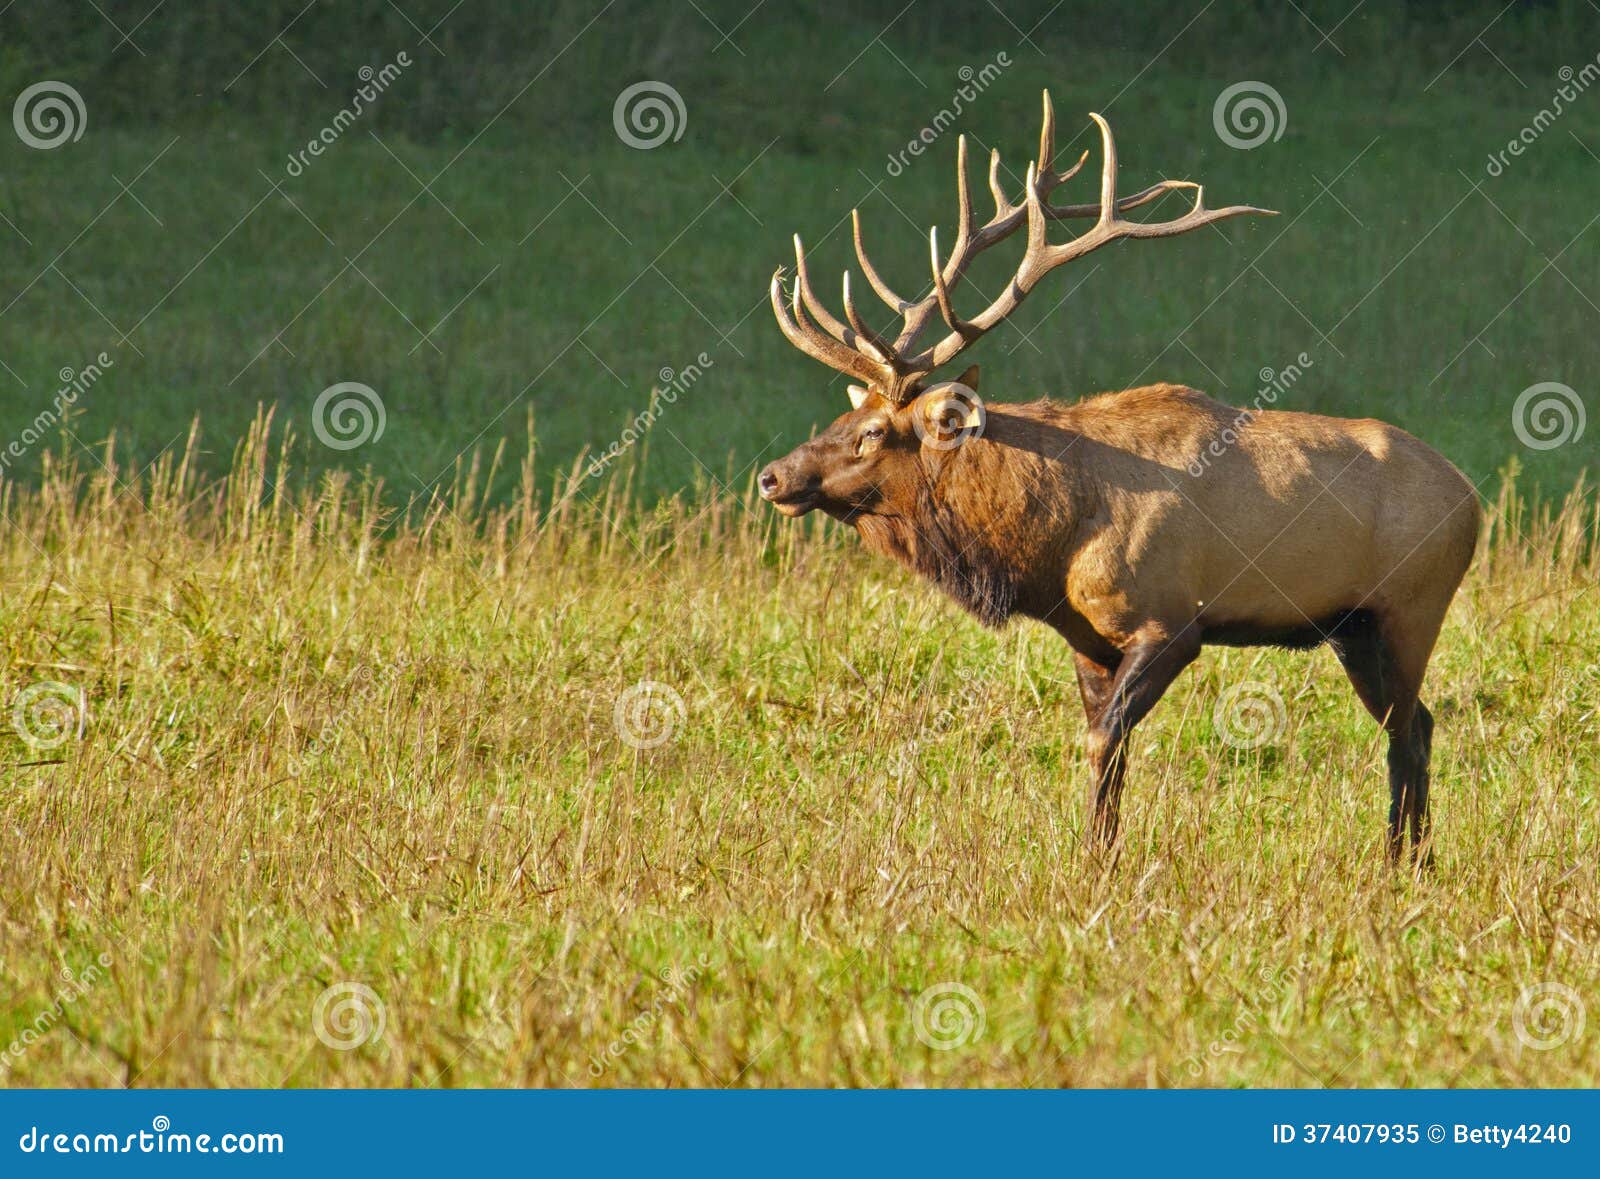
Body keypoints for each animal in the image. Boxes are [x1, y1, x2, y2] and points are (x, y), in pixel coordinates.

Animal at [756, 93, 1479, 863]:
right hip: (1353, 628)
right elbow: (1110, 749)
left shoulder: (1170, 620)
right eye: (846, 411)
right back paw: (1408, 859)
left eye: (871, 431)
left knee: (1410, 731)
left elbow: (1104, 740)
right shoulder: (1089, 637)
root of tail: (1474, 499)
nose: (772, 476)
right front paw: (1098, 853)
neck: (1055, 542)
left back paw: (1405, 861)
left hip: (1411, 606)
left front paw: (1093, 859)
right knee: (1414, 724)